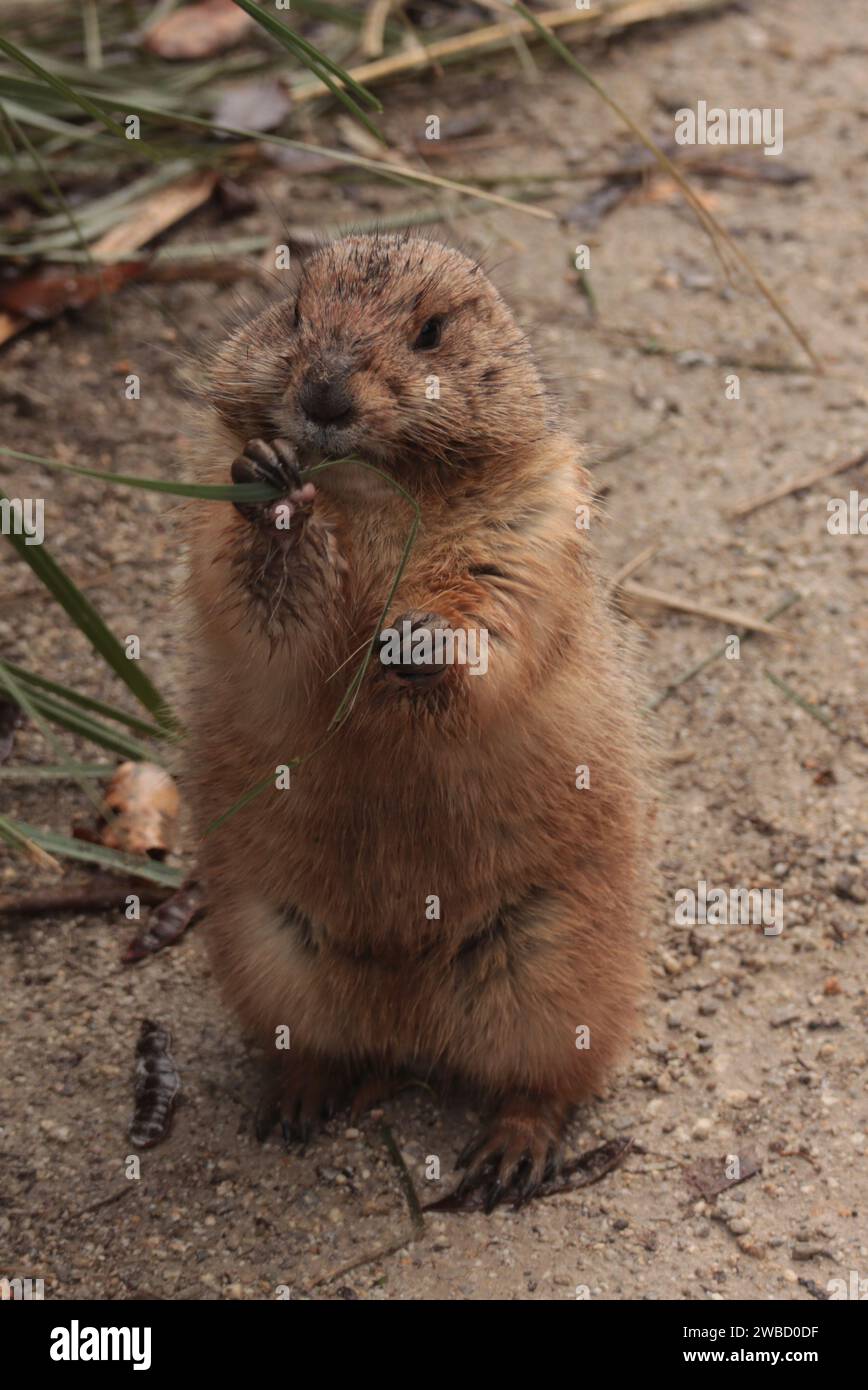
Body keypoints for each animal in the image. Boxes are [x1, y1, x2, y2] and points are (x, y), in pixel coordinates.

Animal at [183, 233, 652, 1210]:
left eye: (432, 331)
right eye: (292, 310)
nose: (323, 397)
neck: (376, 489)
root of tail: (409, 1028)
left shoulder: (536, 514)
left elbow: (498, 608)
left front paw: (421, 633)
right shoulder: (206, 494)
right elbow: (252, 601)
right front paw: (273, 488)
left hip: (558, 971)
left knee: (550, 1082)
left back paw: (508, 1155)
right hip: (269, 955)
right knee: (315, 1047)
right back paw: (298, 1102)